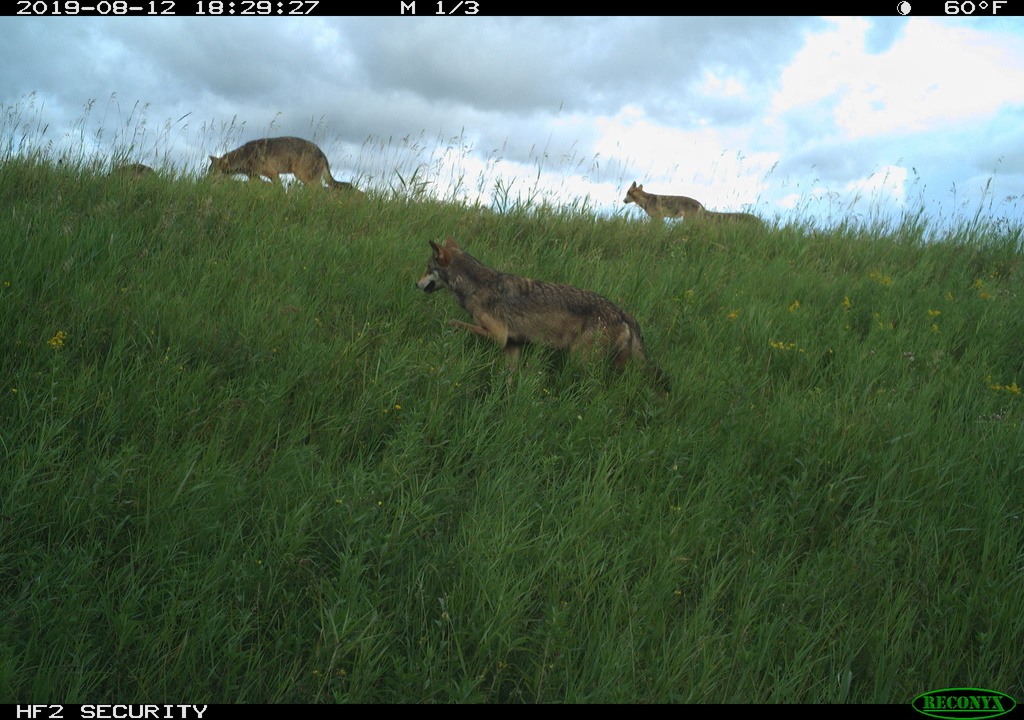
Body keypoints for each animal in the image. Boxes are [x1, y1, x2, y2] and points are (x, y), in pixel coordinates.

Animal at [208, 136, 361, 192]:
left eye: (212, 172)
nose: (205, 181)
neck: (244, 156)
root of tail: (322, 152)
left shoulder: (273, 174)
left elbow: (279, 188)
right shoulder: (254, 177)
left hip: (302, 176)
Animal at [416, 237, 669, 391]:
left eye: (428, 269)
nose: (415, 284)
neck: (477, 286)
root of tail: (622, 312)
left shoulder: (498, 336)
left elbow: (453, 321)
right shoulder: (512, 345)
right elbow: (509, 375)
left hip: (579, 358)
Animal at [624, 181, 762, 226]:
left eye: (627, 193)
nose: (623, 201)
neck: (646, 200)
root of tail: (700, 204)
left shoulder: (658, 218)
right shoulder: (658, 218)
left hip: (687, 220)